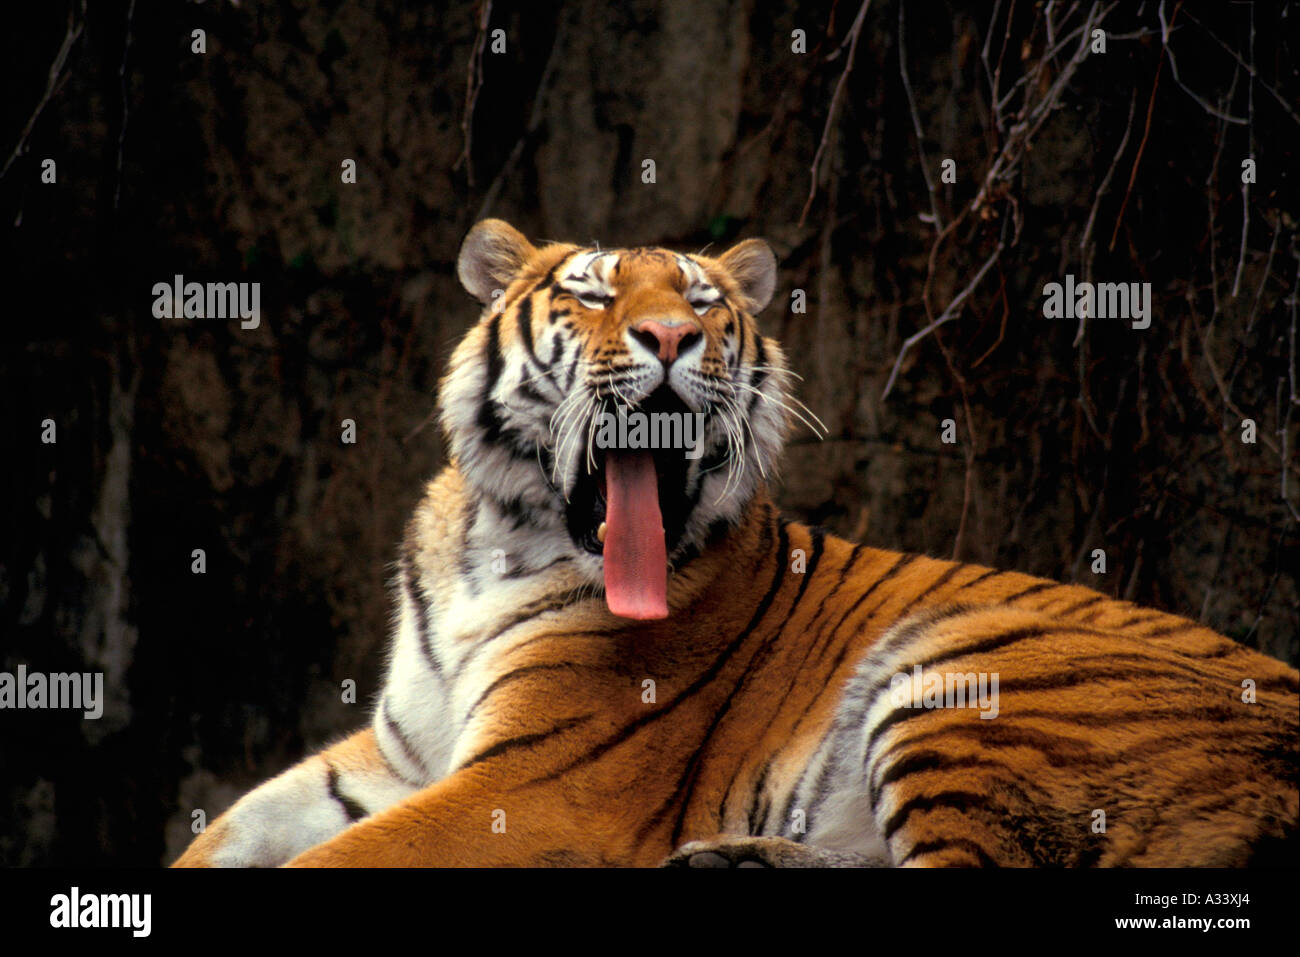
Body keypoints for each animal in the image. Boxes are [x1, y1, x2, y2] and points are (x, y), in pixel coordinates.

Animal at [174, 218, 1298, 868]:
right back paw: (735, 858)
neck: (495, 545)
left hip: (973, 665)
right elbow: (229, 829)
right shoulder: (399, 754)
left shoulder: (531, 785)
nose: (671, 337)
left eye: (703, 303)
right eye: (592, 294)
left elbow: (328, 864)